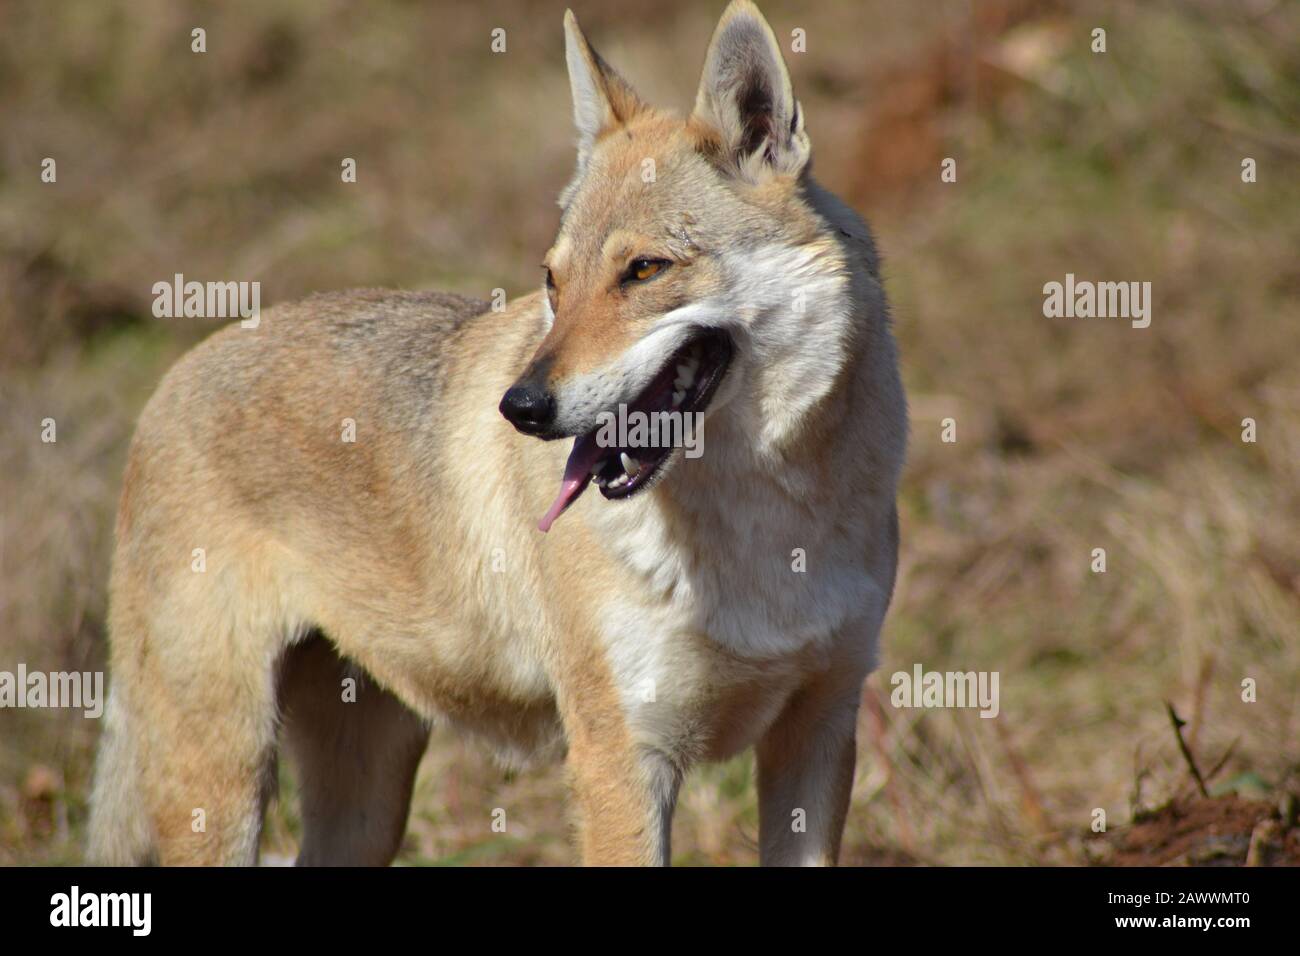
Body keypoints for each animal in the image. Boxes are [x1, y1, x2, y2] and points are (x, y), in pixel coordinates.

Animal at [88, 1, 907, 866]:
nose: (522, 407)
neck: (759, 525)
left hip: (369, 799)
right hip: (229, 780)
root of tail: (169, 382)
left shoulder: (819, 731)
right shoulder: (623, 760)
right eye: (553, 281)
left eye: (644, 271)